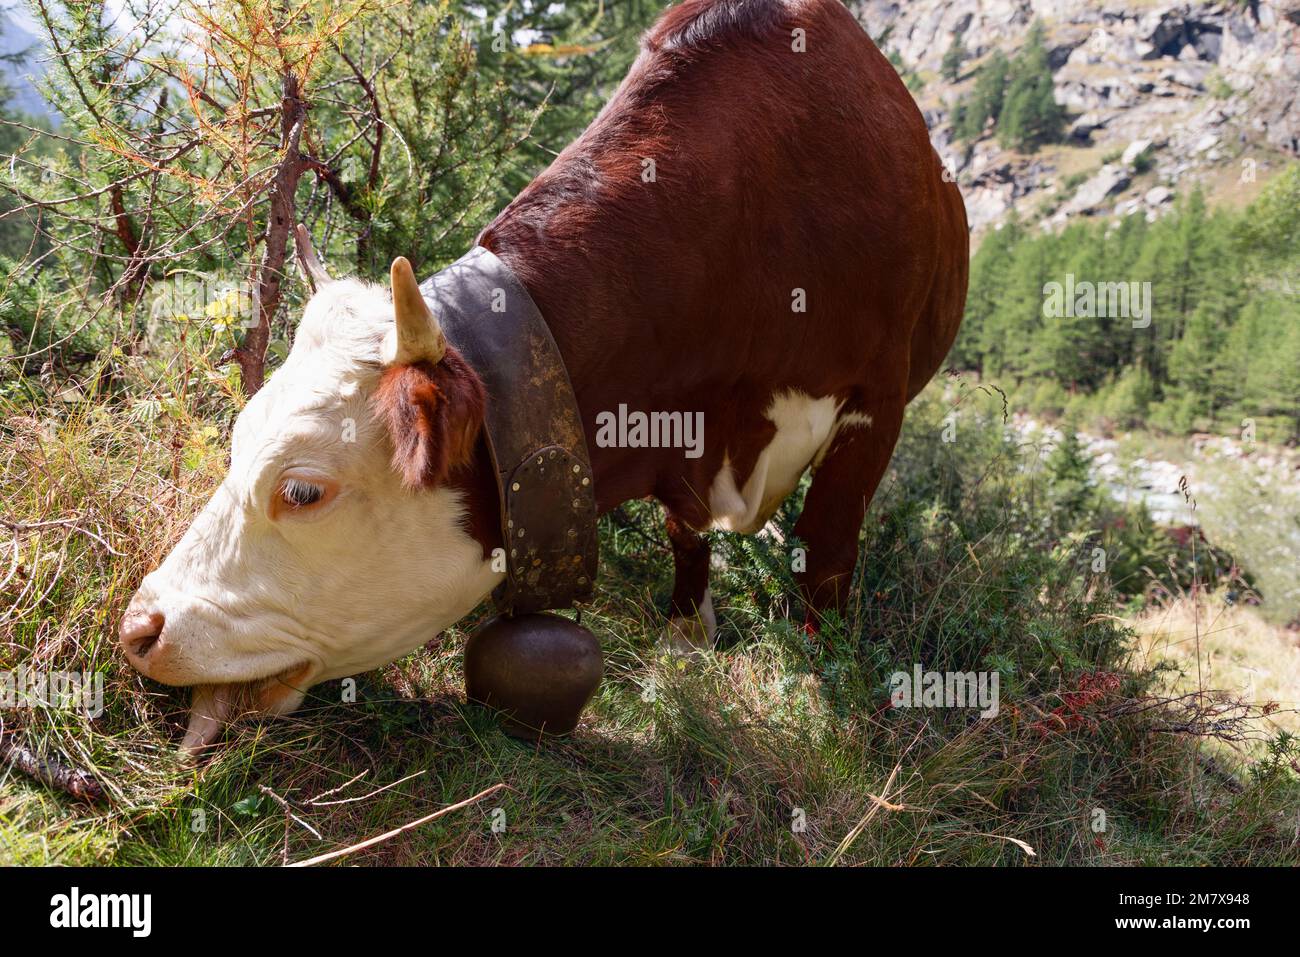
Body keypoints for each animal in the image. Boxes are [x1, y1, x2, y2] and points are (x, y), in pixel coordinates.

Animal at [119, 0, 969, 749]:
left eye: (302, 490)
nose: (138, 626)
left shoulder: (876, 403)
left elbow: (828, 548)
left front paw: (823, 685)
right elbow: (684, 532)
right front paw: (686, 640)